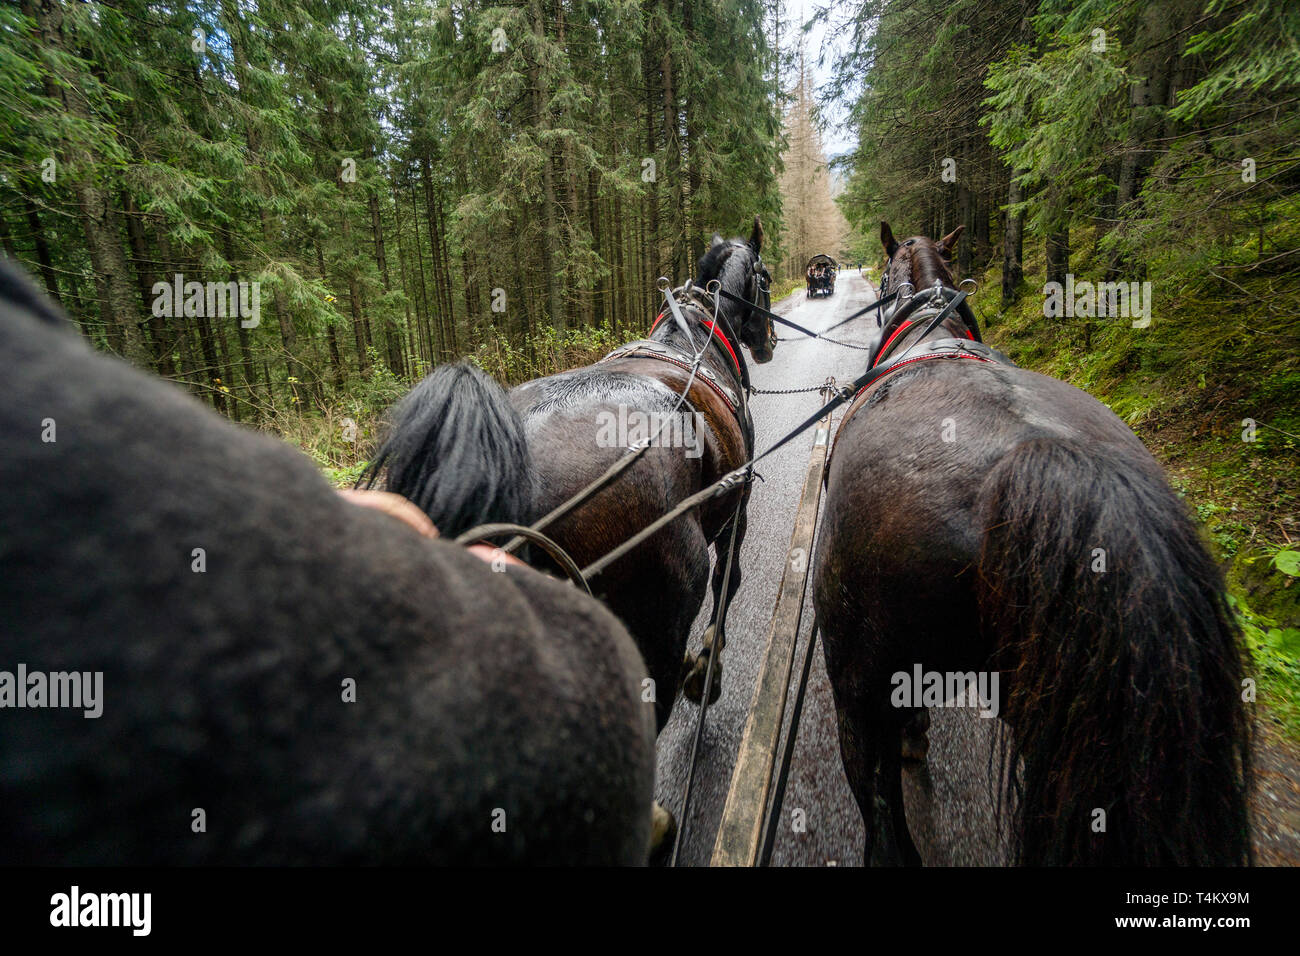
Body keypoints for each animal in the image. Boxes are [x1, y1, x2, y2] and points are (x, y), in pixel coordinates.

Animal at [370, 218, 774, 733]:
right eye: (766, 278)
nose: (768, 344)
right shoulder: (735, 511)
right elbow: (729, 583)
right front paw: (707, 672)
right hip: (659, 609)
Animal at [811, 221, 1252, 866]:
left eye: (888, 274)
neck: (928, 328)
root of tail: (1031, 458)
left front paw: (917, 735)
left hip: (857, 688)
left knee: (886, 829)